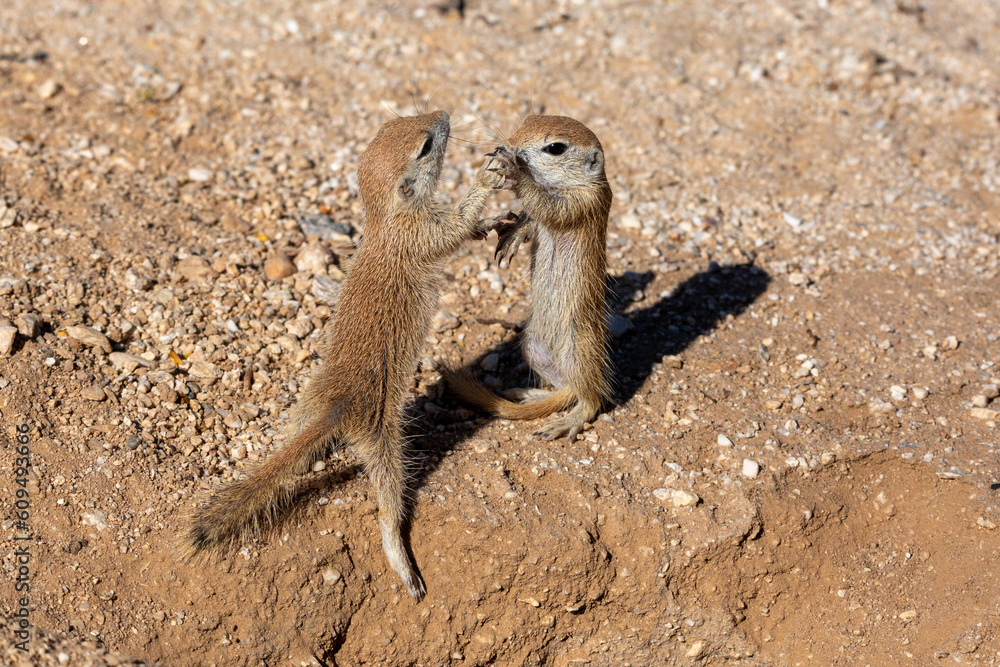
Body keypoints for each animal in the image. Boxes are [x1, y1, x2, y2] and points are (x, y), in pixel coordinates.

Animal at [181, 110, 501, 600]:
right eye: (426, 145)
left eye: (399, 119)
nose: (444, 115)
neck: (385, 220)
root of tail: (337, 408)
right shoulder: (423, 232)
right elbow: (454, 228)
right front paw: (488, 180)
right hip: (385, 439)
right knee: (389, 502)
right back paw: (401, 562)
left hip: (308, 398)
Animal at [446, 115, 613, 441]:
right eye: (526, 121)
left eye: (556, 148)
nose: (507, 146)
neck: (583, 180)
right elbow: (533, 218)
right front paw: (512, 233)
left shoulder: (584, 201)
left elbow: (548, 207)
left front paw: (514, 173)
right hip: (532, 348)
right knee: (566, 388)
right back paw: (529, 394)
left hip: (578, 350)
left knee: (591, 399)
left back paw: (566, 421)